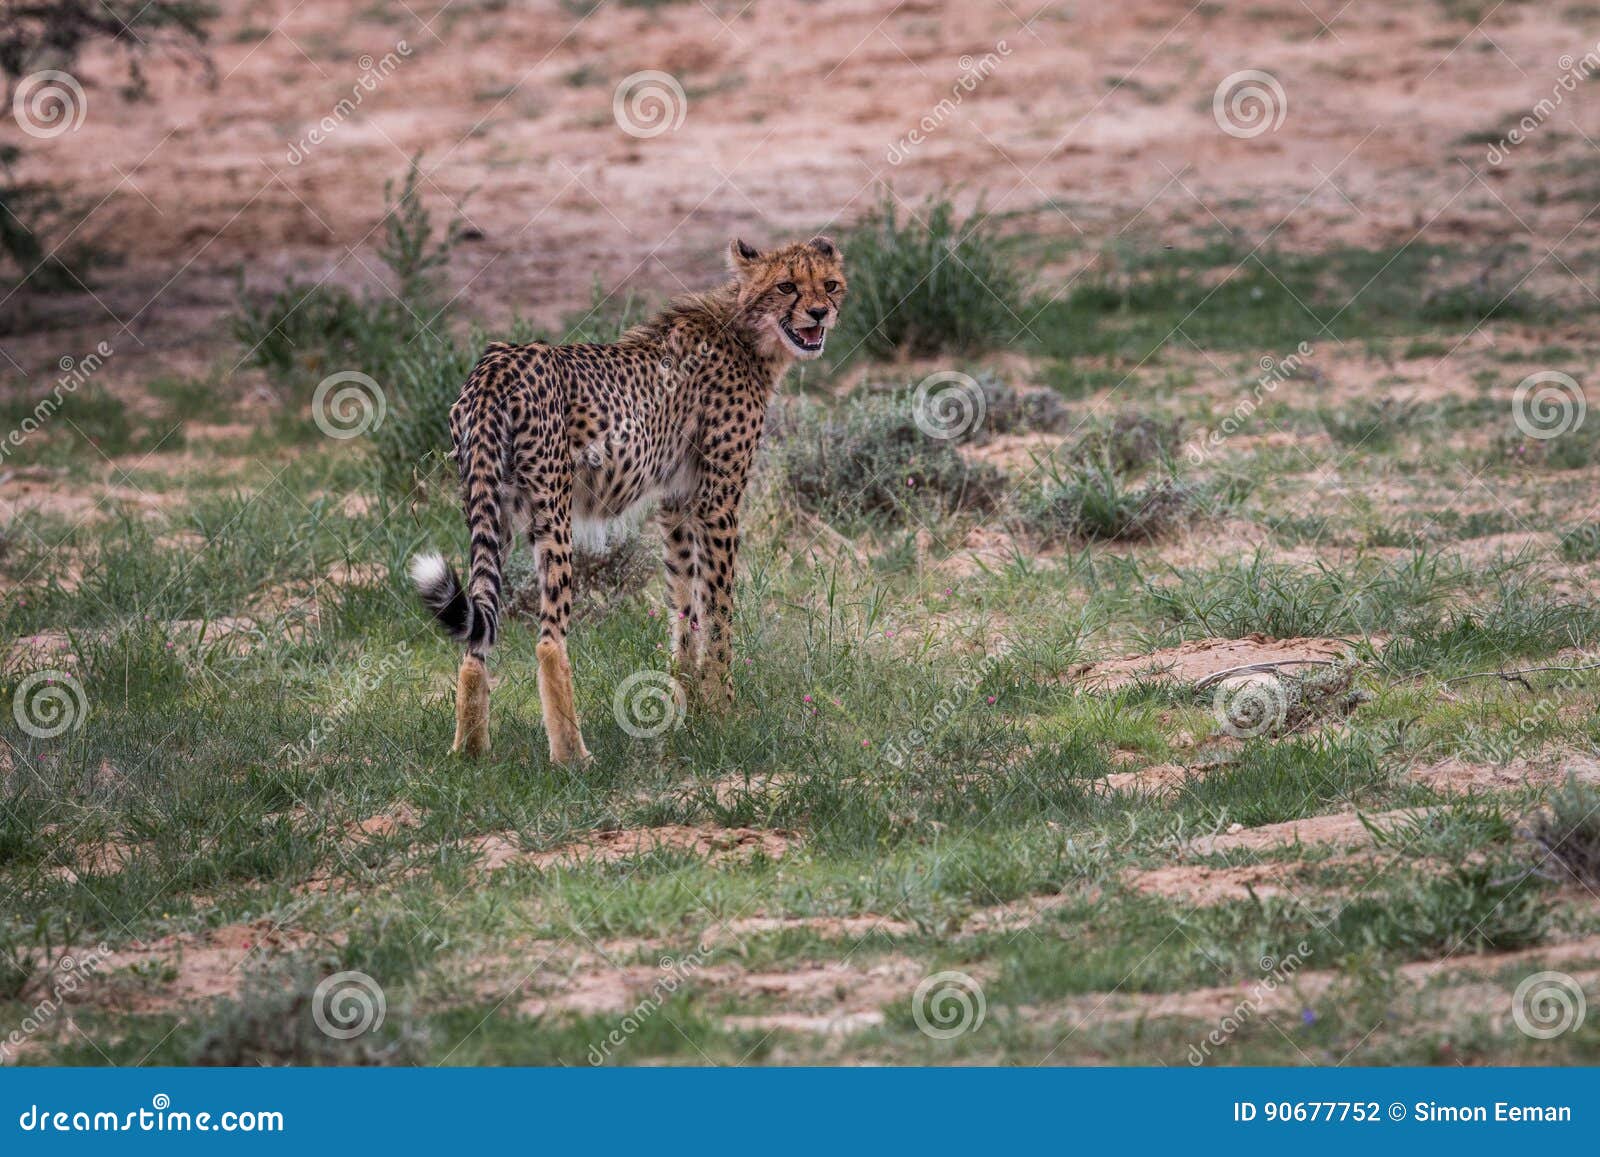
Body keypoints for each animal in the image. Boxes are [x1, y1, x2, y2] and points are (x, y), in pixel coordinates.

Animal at [410, 235, 846, 764]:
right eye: (786, 286)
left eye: (829, 284)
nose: (821, 312)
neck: (744, 332)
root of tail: (498, 364)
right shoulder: (718, 502)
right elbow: (718, 610)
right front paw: (724, 708)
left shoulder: (676, 503)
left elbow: (685, 607)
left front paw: (689, 705)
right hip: (552, 514)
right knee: (548, 641)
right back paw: (573, 757)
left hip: (493, 512)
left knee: (478, 631)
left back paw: (471, 753)